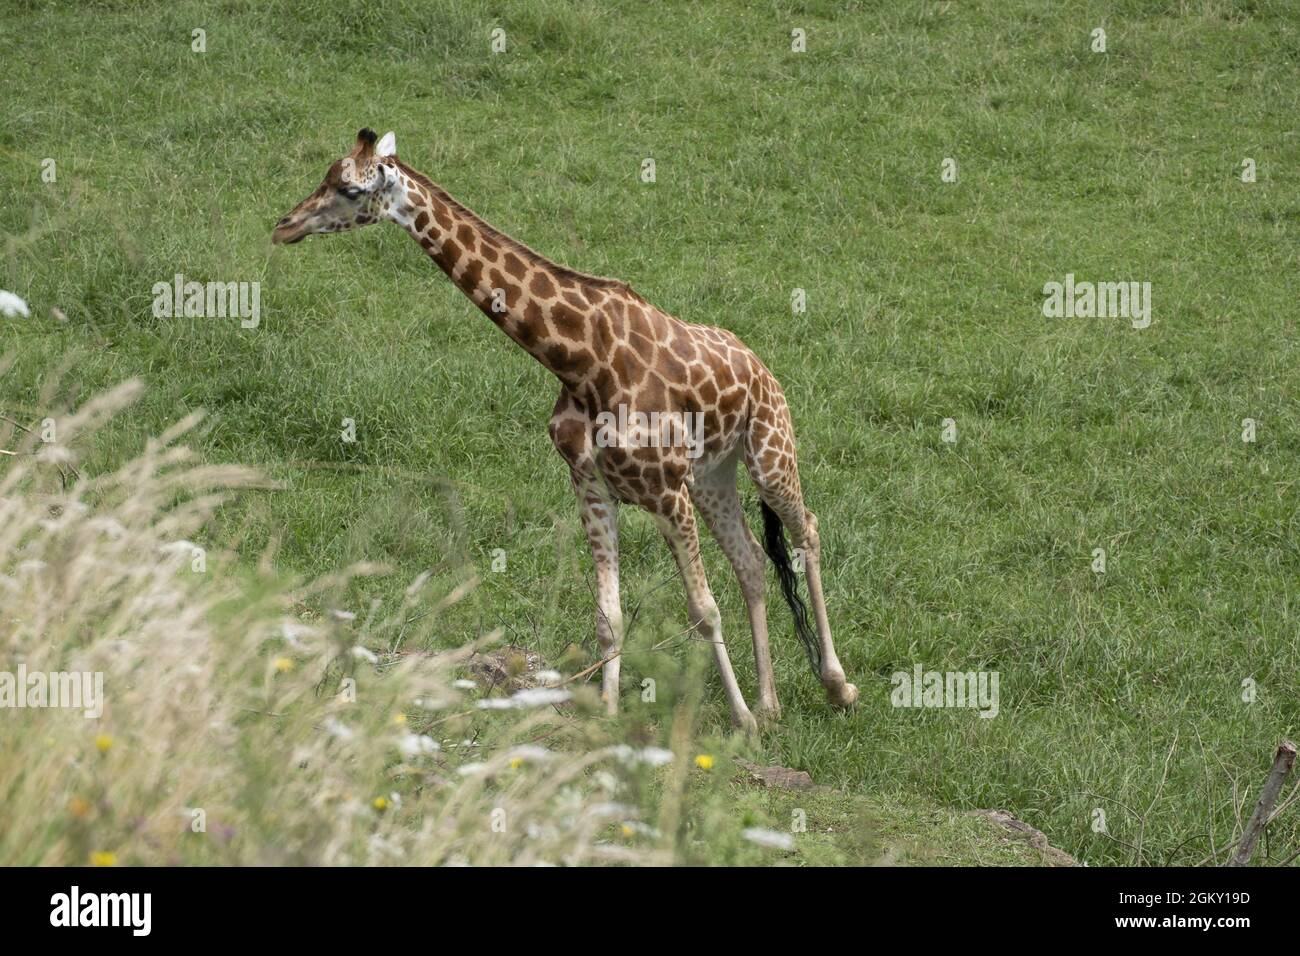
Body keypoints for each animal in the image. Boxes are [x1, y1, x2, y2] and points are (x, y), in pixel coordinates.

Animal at [273, 129, 858, 731]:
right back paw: (770, 702)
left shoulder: (665, 492)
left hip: (769, 452)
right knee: (751, 561)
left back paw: (836, 686)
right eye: (324, 175)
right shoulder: (591, 484)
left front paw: (740, 721)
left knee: (807, 530)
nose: (283, 226)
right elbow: (609, 616)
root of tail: (760, 365)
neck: (580, 359)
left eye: (348, 188)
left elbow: (703, 610)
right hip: (712, 477)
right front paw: (609, 718)